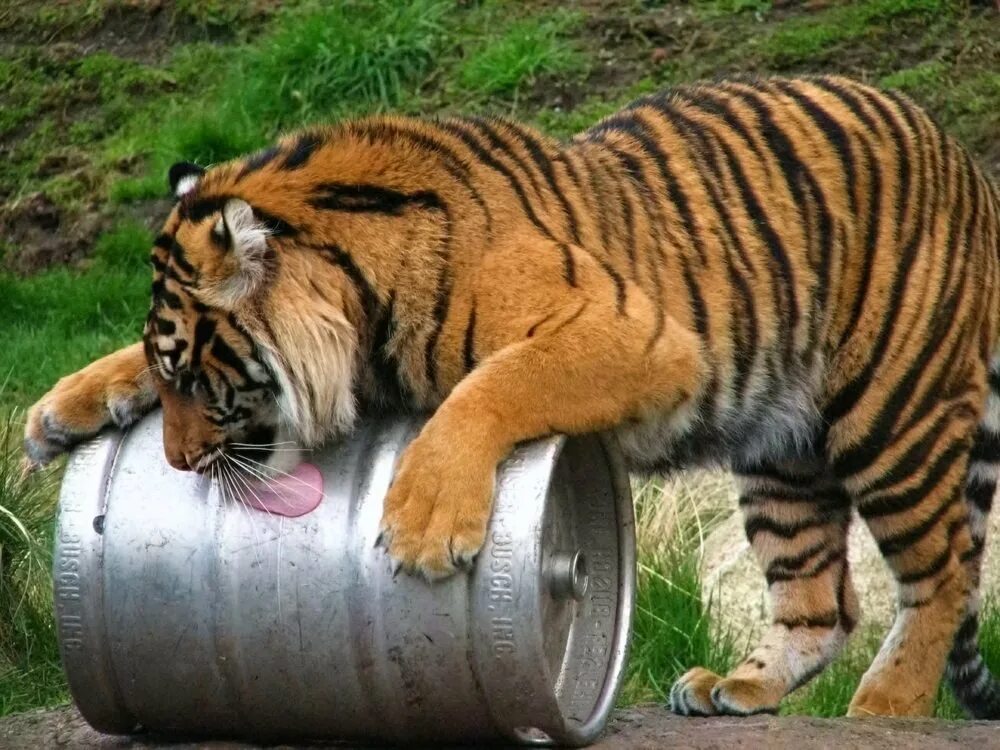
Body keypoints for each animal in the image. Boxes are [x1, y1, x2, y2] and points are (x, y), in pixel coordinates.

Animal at [23, 75, 1000, 719]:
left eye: (198, 382)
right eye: (172, 381)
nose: (180, 460)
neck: (361, 296)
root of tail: (962, 156)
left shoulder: (632, 332)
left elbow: (492, 384)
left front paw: (425, 521)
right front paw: (58, 410)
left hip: (891, 412)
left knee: (945, 570)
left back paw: (885, 707)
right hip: (779, 455)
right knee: (822, 599)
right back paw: (741, 687)